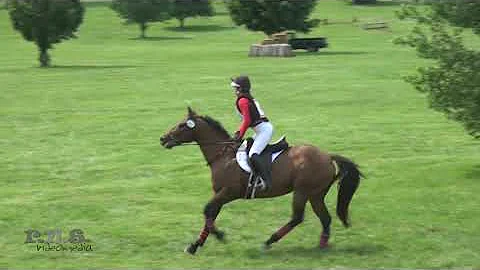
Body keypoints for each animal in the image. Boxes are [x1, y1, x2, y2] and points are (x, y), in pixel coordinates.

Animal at [159, 107, 362, 255]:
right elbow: (210, 216)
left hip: (302, 191)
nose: (163, 139)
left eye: (182, 125)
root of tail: (327, 156)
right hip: (316, 194)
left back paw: (269, 241)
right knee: (325, 218)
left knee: (297, 217)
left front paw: (220, 236)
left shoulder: (228, 192)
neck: (223, 156)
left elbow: (207, 211)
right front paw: (195, 245)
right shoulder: (220, 193)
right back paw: (322, 246)